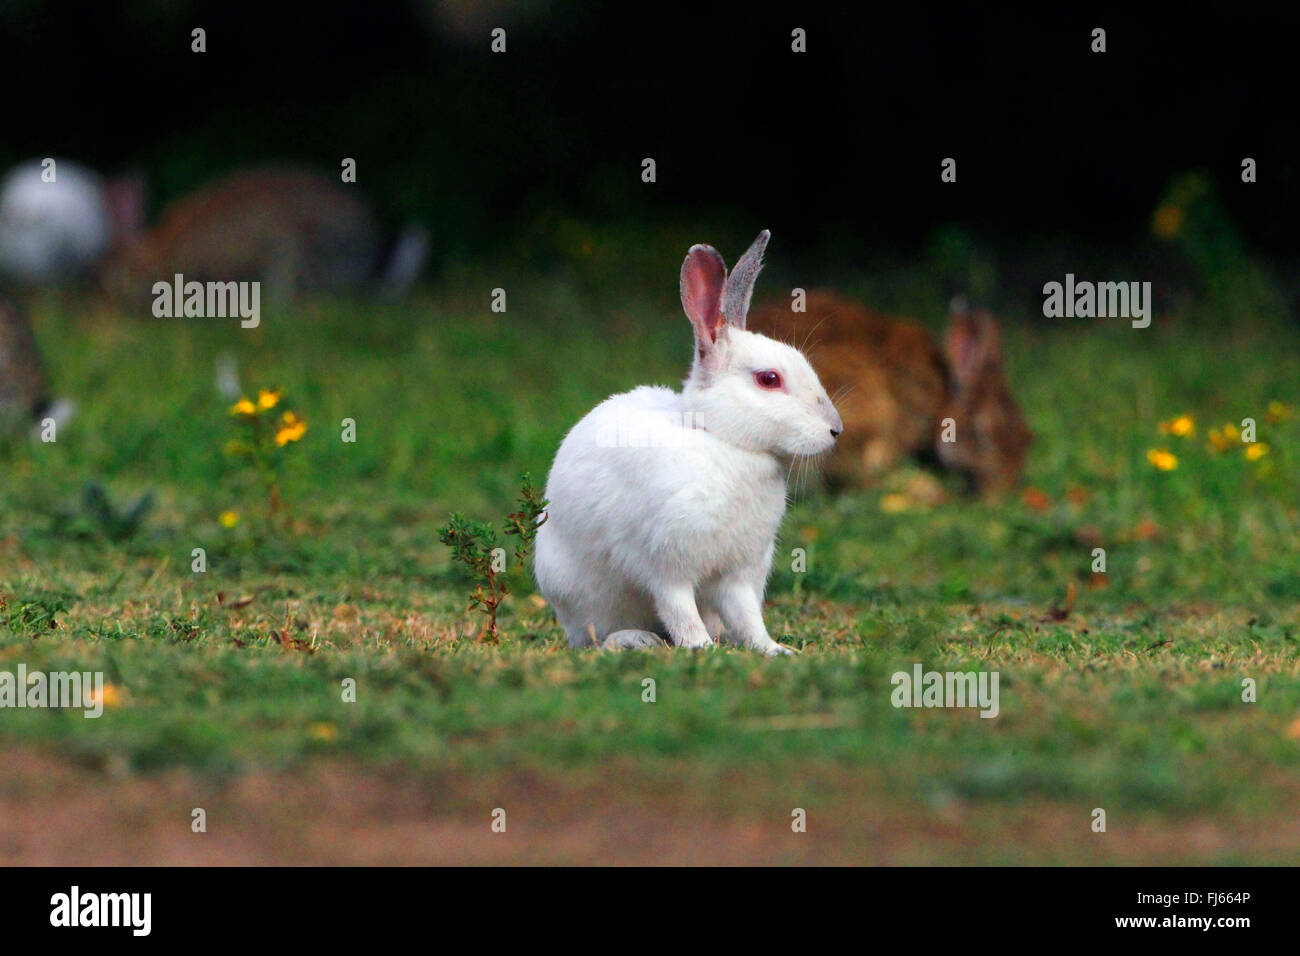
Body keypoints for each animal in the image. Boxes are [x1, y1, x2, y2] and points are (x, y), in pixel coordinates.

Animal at [533, 231, 843, 656]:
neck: (721, 440)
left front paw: (773, 650)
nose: (835, 429)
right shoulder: (666, 567)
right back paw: (636, 639)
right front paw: (701, 649)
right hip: (580, 596)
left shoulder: (738, 574)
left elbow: (748, 616)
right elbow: (680, 610)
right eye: (769, 379)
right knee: (594, 637)